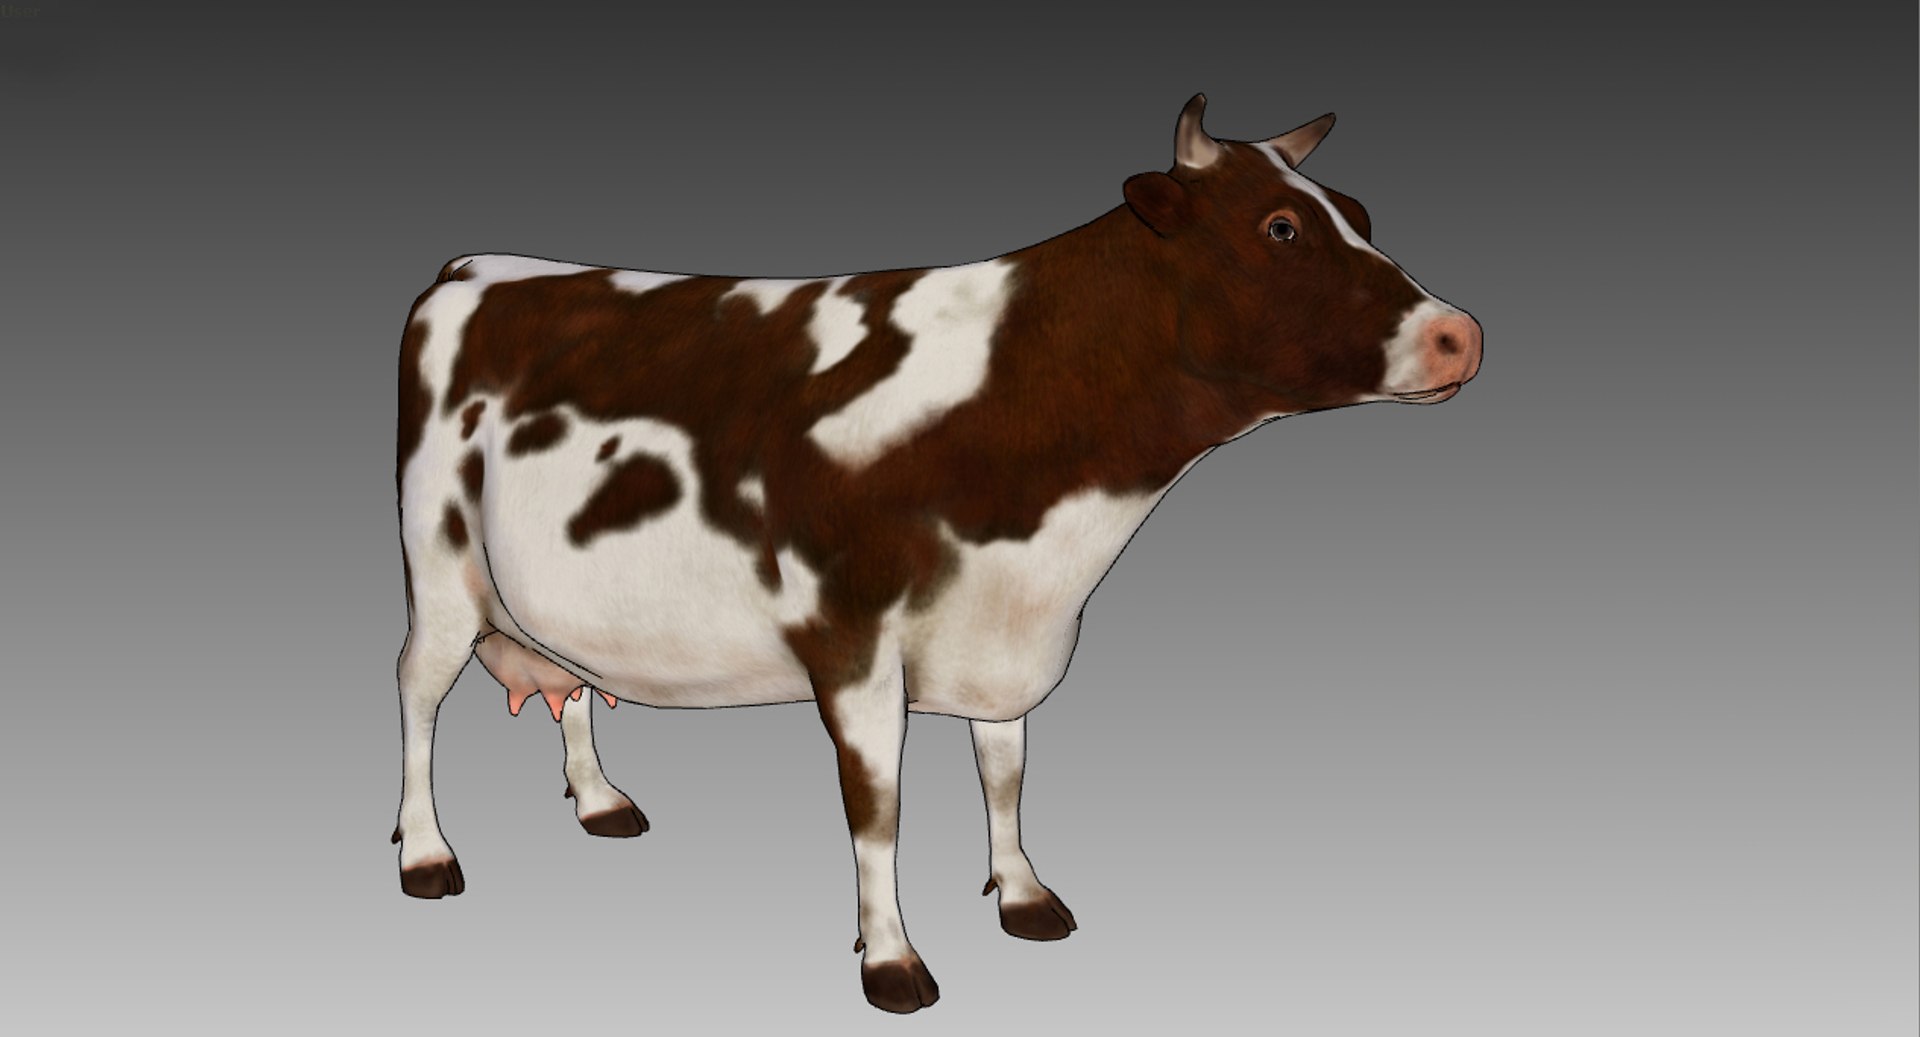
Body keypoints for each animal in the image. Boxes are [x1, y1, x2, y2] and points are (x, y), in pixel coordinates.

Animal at [391, 94, 1482, 1014]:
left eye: (1358, 212)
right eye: (1280, 228)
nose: (1460, 334)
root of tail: (475, 265)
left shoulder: (1003, 632)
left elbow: (1005, 771)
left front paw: (1023, 893)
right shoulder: (853, 640)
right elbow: (878, 807)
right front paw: (891, 958)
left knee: (567, 676)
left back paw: (600, 799)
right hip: (440, 564)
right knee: (417, 690)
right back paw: (425, 853)